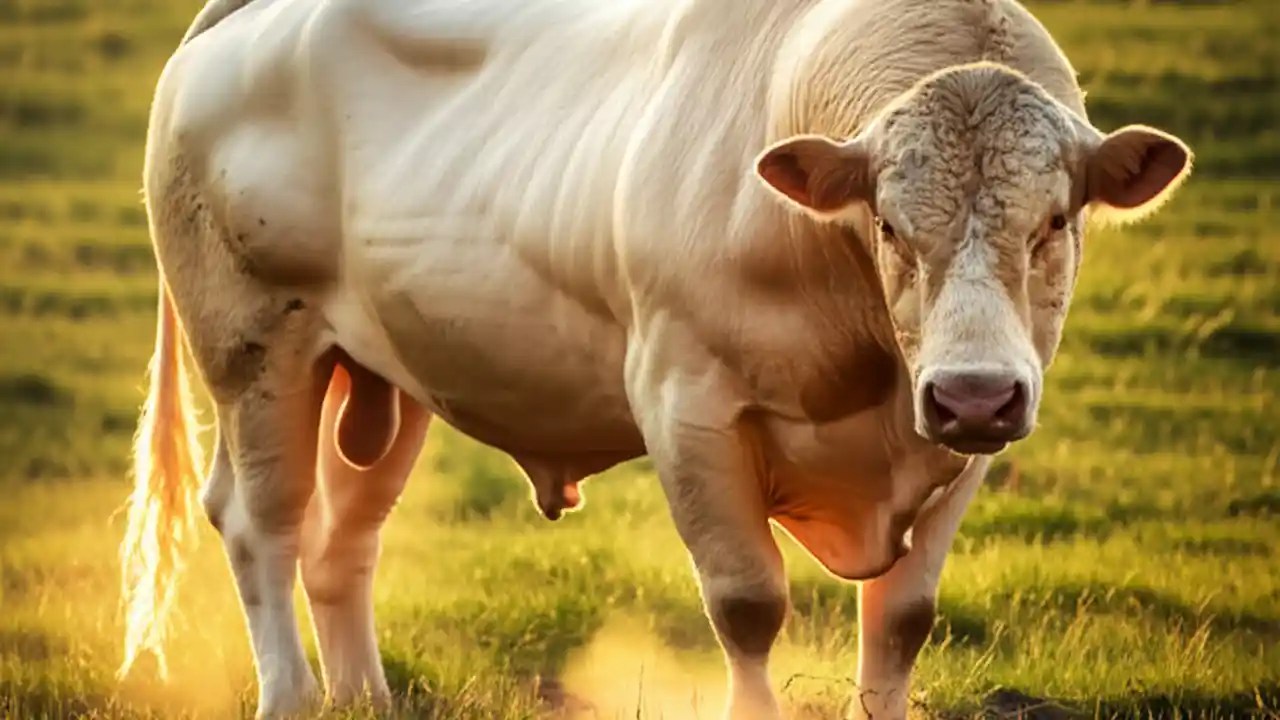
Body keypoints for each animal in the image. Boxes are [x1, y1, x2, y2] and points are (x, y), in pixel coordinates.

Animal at [118, 0, 1191, 717]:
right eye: (887, 223)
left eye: (1056, 221)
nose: (972, 393)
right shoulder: (687, 407)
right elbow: (748, 603)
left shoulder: (965, 438)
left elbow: (901, 620)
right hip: (255, 347)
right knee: (265, 522)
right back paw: (292, 695)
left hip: (379, 372)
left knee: (346, 537)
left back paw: (366, 700)